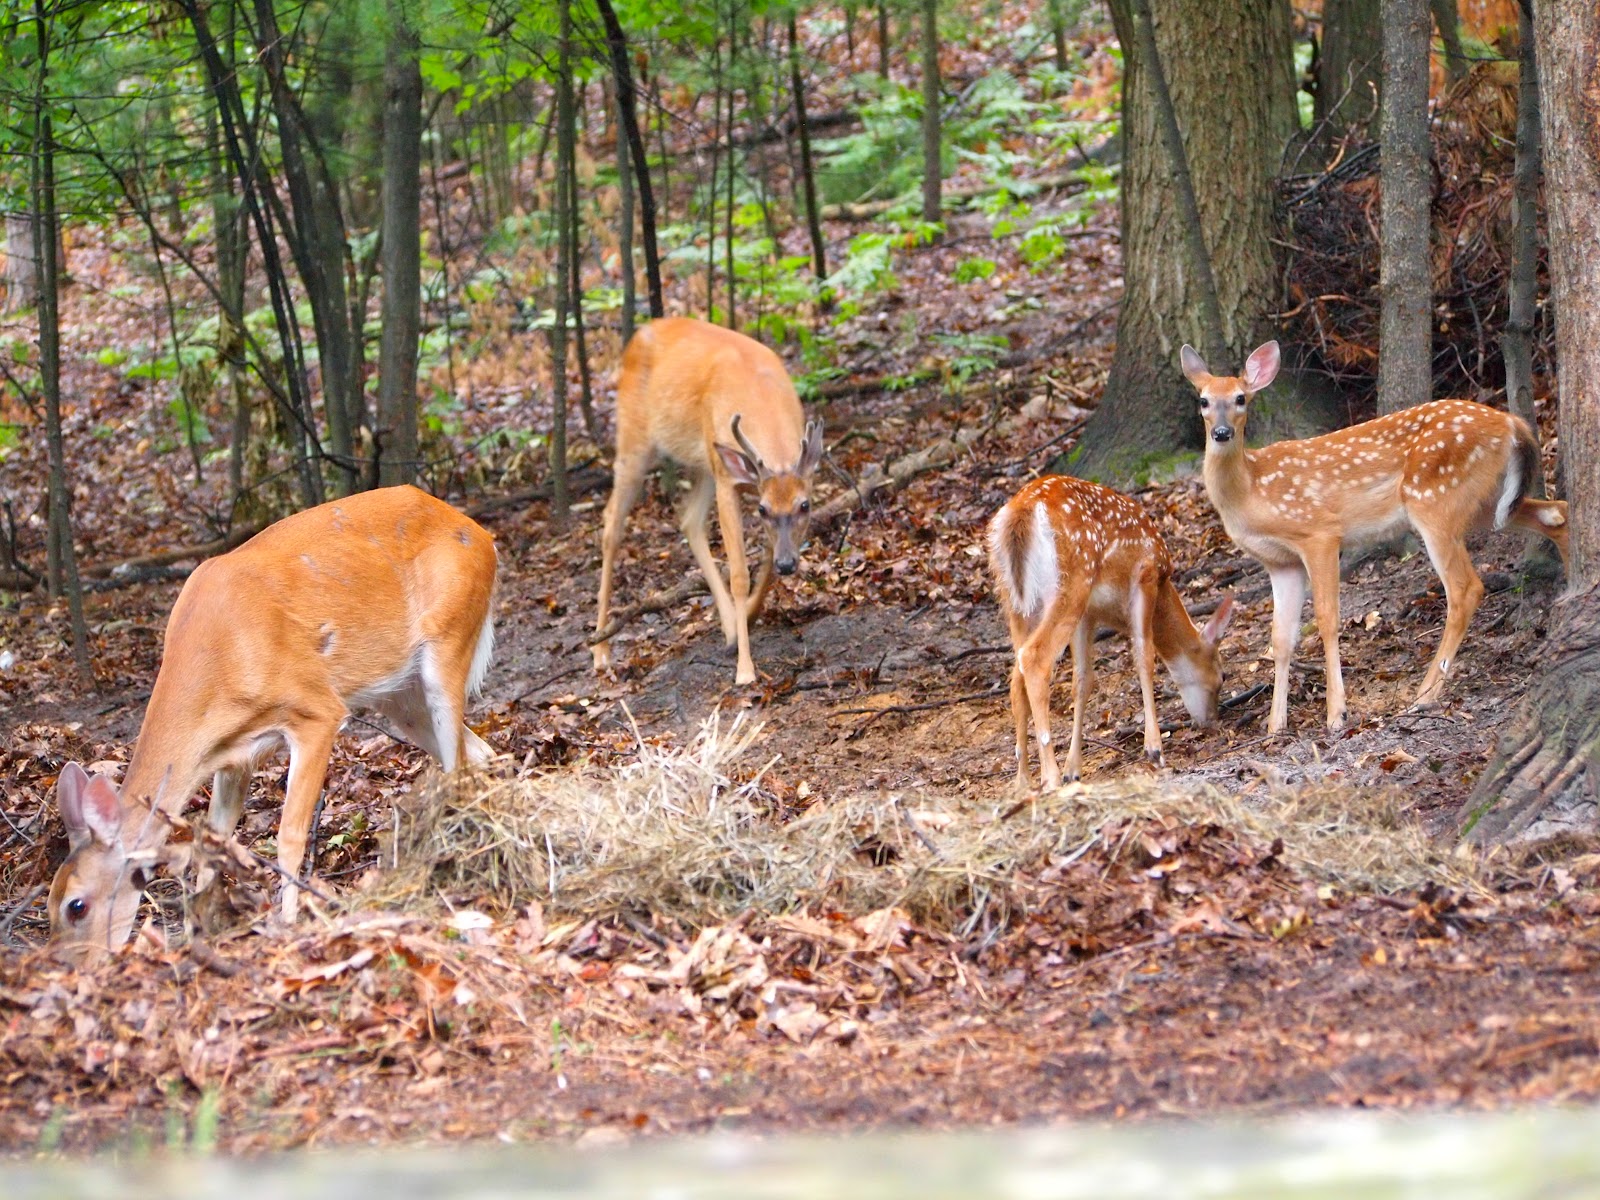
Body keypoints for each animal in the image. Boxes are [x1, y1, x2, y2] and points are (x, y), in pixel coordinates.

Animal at [49, 485, 498, 959]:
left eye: (76, 905)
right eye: (48, 904)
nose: (73, 965)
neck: (218, 658)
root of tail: (481, 535)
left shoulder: (315, 709)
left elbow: (290, 834)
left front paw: (286, 921)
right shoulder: (231, 754)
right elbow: (214, 839)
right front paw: (201, 928)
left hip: (449, 635)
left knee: (458, 762)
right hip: (400, 698)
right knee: (477, 752)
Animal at [593, 317, 824, 687]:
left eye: (805, 505)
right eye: (762, 510)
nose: (790, 565)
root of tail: (637, 336)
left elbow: (765, 562)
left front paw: (748, 618)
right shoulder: (728, 481)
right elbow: (740, 574)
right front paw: (745, 669)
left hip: (703, 460)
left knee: (689, 520)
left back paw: (729, 628)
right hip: (635, 437)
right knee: (612, 521)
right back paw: (600, 650)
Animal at [990, 475, 1235, 790]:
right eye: (1221, 675)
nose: (1212, 721)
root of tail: (1021, 512)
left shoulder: (1088, 616)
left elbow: (1083, 681)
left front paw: (1073, 769)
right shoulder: (1145, 576)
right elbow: (1144, 656)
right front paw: (1154, 749)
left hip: (1016, 603)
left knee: (1015, 674)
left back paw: (1023, 780)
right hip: (1071, 582)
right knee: (1033, 658)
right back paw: (1050, 776)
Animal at [1182, 340, 1569, 734]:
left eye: (1241, 398)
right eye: (1204, 400)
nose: (1222, 433)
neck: (1251, 491)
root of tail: (1510, 421)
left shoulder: (1319, 533)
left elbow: (1327, 619)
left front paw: (1336, 713)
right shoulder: (1280, 563)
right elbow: (1281, 638)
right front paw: (1276, 725)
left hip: (1435, 500)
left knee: (1466, 588)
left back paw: (1425, 694)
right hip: (1487, 504)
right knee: (1557, 512)